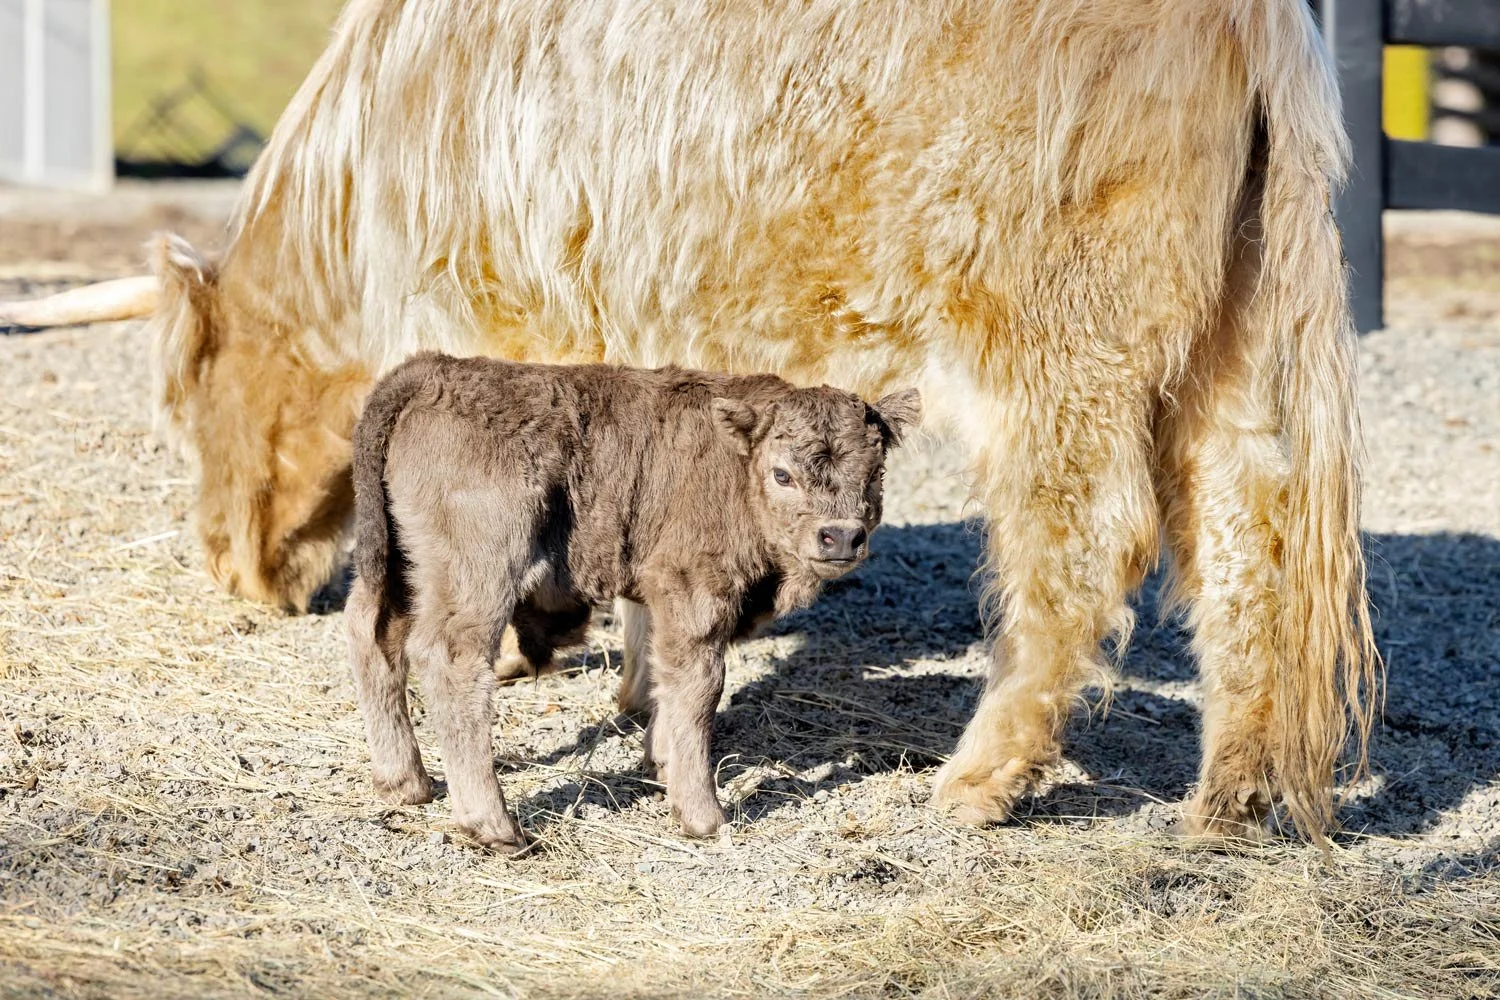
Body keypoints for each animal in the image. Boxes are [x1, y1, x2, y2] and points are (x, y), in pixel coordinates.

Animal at [345, 351, 919, 848]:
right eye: (783, 474)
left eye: (875, 474)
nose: (840, 537)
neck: (735, 464)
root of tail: (434, 370)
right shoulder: (693, 597)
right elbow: (700, 690)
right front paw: (702, 815)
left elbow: (664, 679)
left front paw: (660, 764)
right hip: (479, 576)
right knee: (450, 661)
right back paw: (495, 827)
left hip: (399, 569)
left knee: (372, 634)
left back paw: (405, 784)